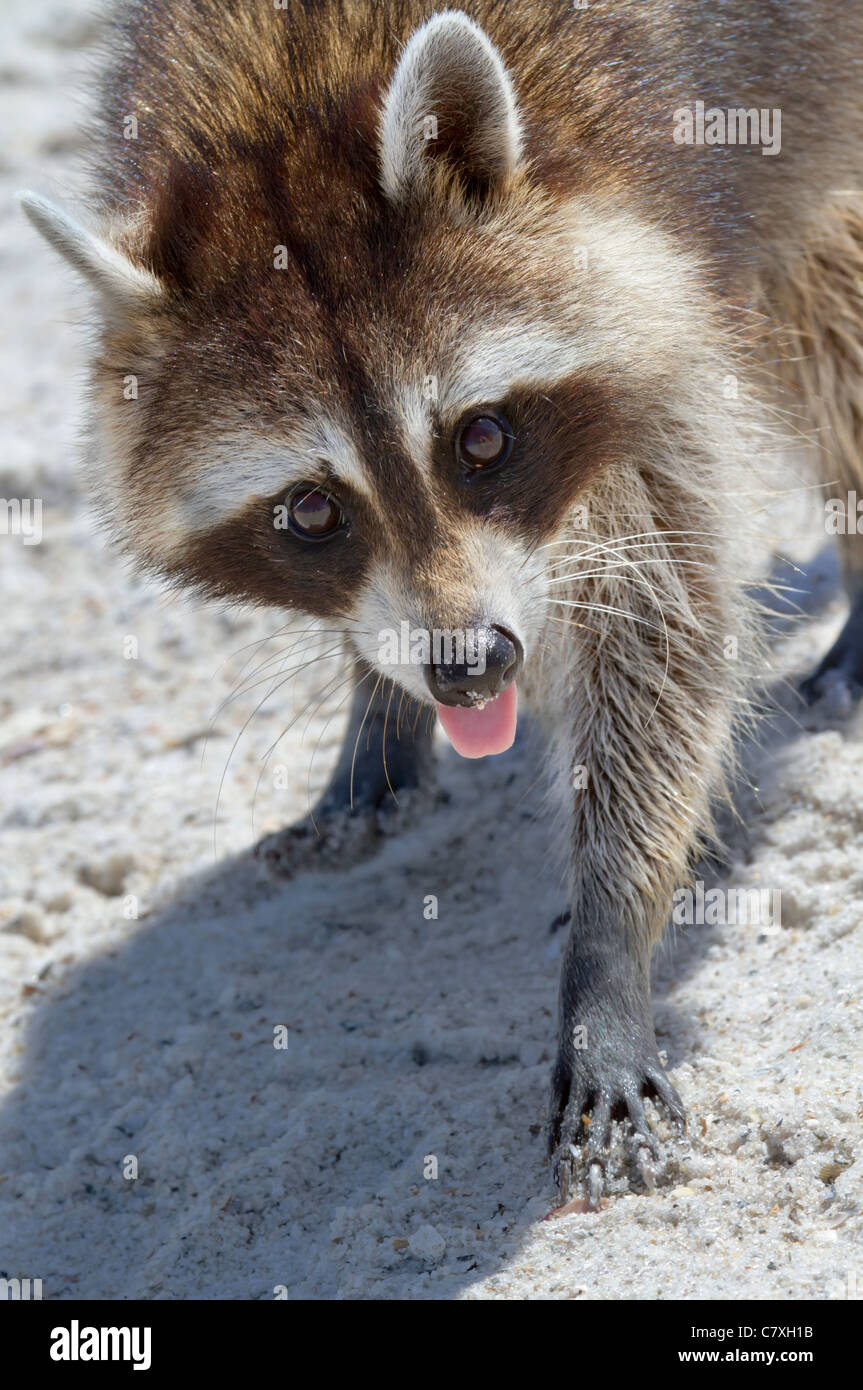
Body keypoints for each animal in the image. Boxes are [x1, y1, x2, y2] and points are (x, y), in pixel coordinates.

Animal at [20, 0, 863, 1202]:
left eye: (483, 437)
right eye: (310, 510)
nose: (468, 668)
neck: (287, 107)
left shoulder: (650, 291)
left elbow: (660, 619)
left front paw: (607, 945)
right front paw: (378, 717)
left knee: (827, 294)